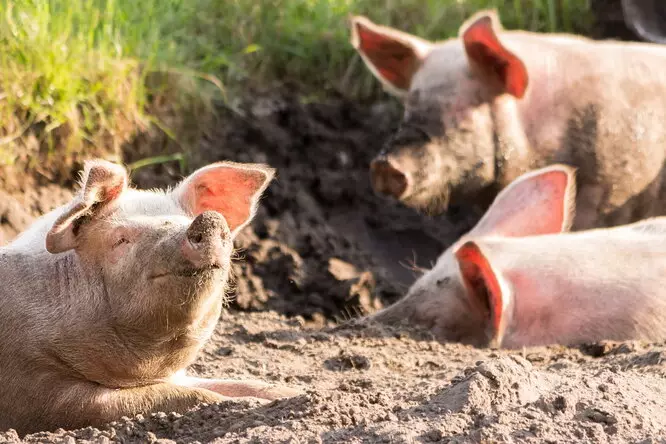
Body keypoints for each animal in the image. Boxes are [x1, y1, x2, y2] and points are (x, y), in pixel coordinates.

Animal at [0, 159, 298, 434]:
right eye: (121, 240)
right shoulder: (39, 390)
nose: (209, 219)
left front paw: (294, 394)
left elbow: (240, 384)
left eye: (184, 220)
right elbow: (180, 396)